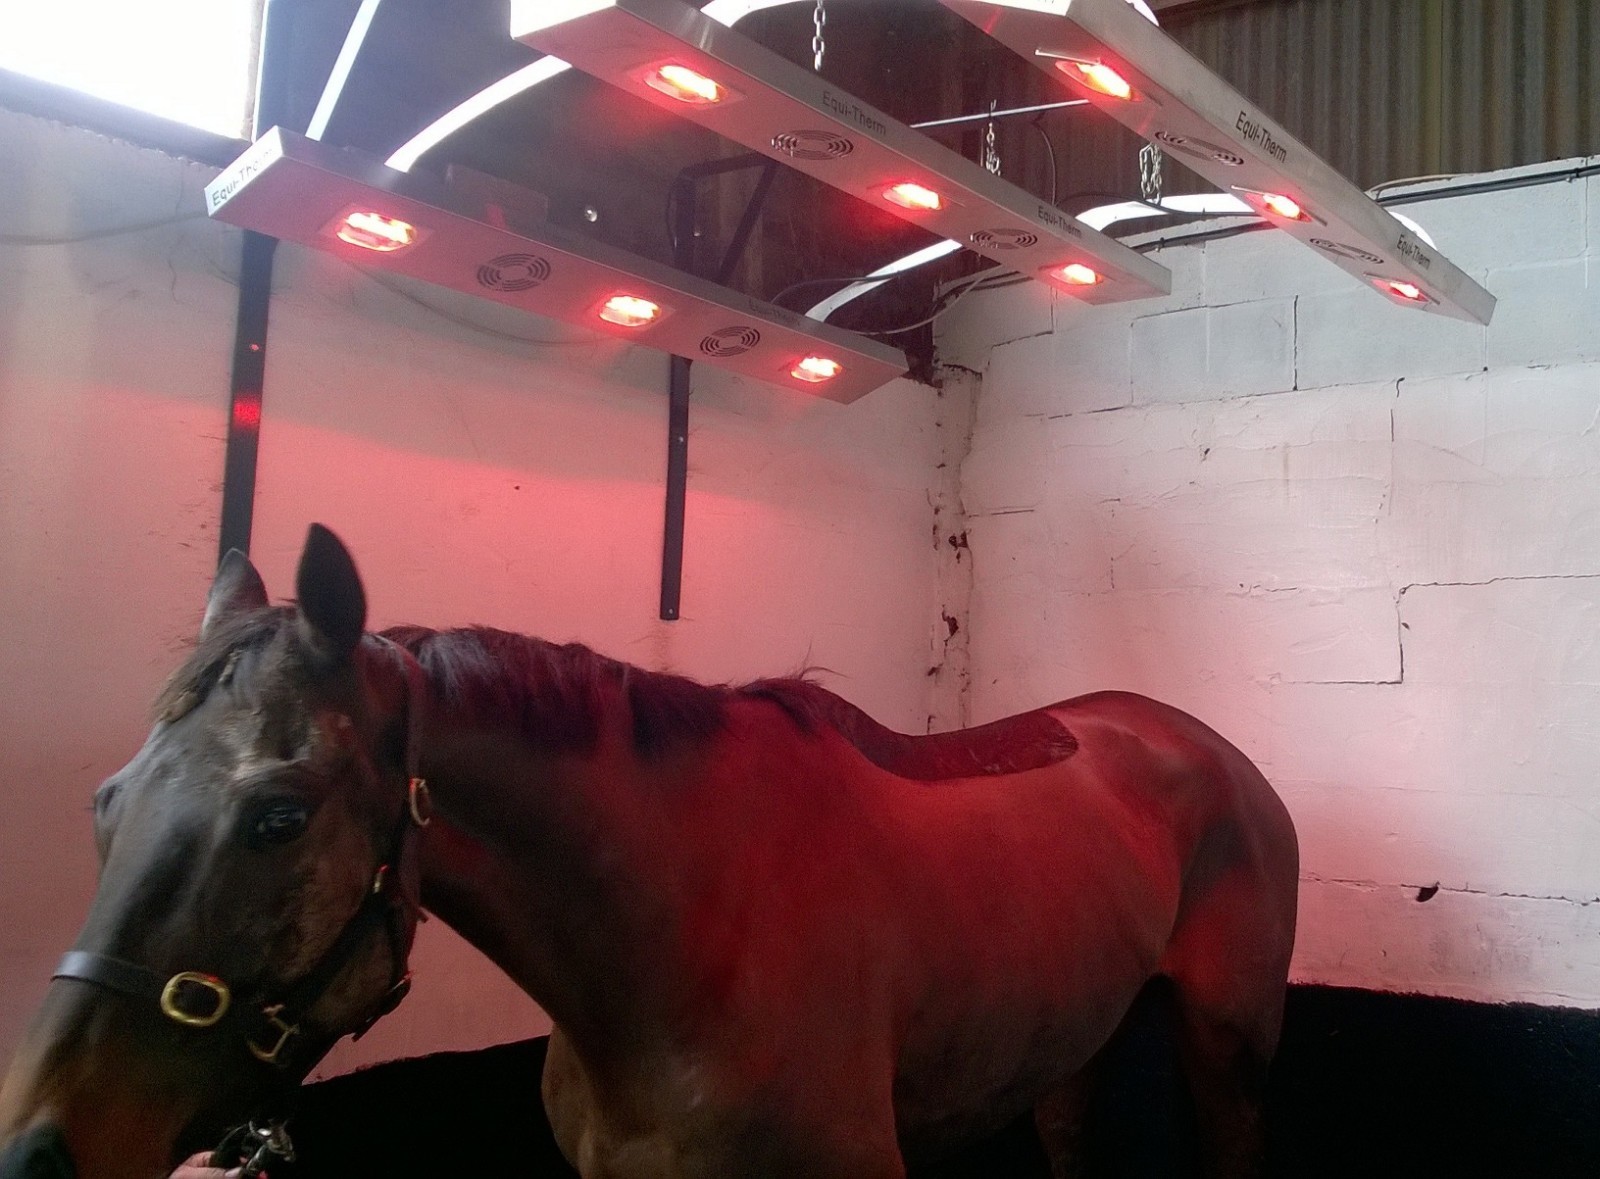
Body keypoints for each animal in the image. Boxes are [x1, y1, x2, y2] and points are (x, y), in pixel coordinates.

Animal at [0, 525, 1298, 1179]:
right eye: (106, 803)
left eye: (278, 816)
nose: (38, 1148)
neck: (679, 958)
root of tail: (1200, 743)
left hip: (1227, 1041)